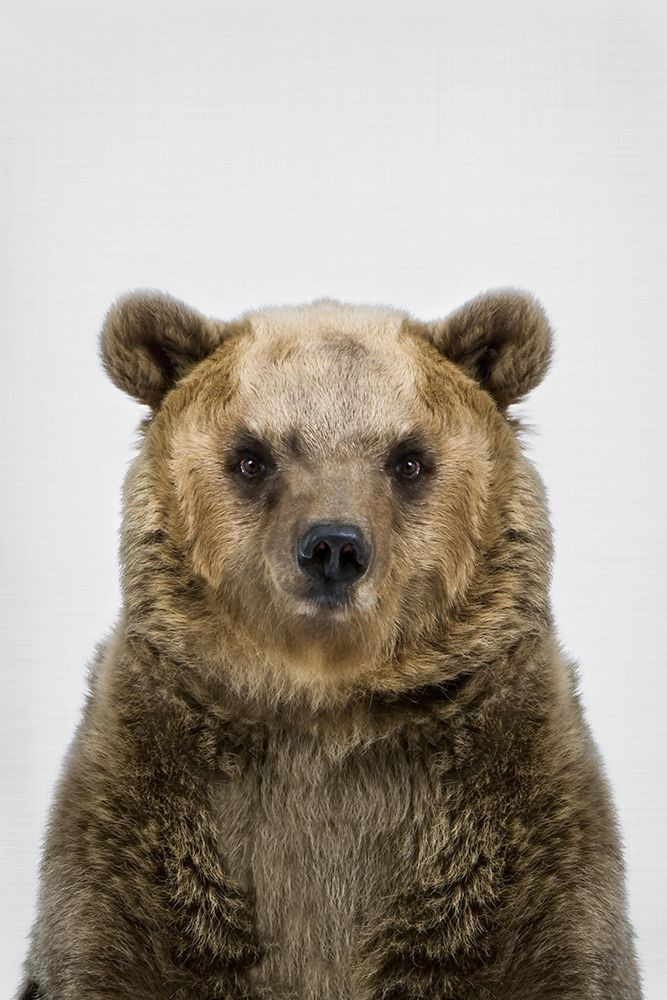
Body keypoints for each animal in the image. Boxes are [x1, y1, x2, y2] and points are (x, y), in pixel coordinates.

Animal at [19, 288, 642, 1000]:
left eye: (408, 459)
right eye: (253, 456)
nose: (334, 548)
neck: (325, 705)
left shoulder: (512, 824)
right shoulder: (145, 822)